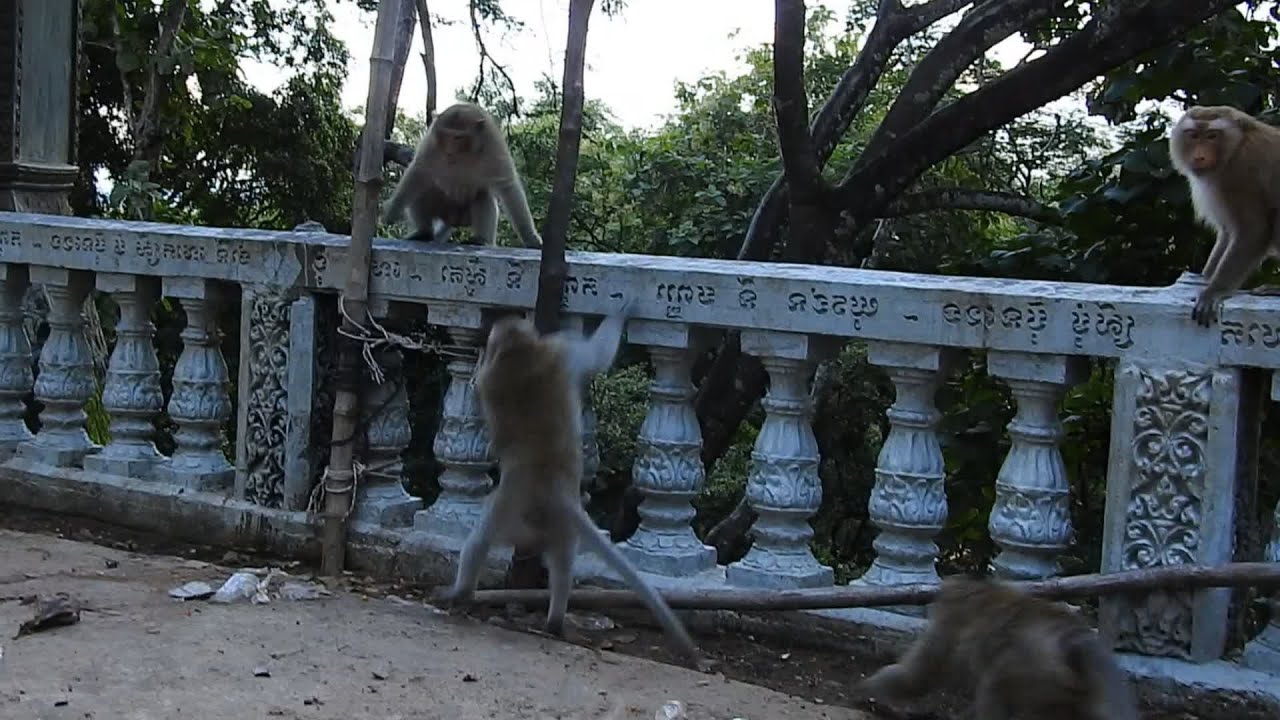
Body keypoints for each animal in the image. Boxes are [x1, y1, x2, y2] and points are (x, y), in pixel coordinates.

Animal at [382, 101, 543, 248]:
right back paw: (423, 233)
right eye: (445, 135)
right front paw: (392, 210)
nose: (449, 151)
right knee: (420, 192)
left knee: (483, 197)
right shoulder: (431, 142)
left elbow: (507, 185)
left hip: (465, 215)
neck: (464, 154)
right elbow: (419, 171)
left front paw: (531, 238)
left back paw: (481, 240)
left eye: (458, 137)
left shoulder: (493, 143)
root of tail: (453, 220)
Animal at [433, 303, 705, 670]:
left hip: (507, 509)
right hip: (561, 527)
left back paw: (460, 594)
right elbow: (596, 357)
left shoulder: (537, 356)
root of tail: (556, 492)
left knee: (479, 541)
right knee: (562, 567)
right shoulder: (560, 353)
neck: (521, 351)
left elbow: (482, 385)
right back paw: (554, 621)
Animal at [855, 576, 1139, 720]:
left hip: (1034, 671)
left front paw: (865, 692)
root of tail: (1073, 641)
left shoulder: (950, 624)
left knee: (995, 686)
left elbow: (917, 678)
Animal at [1169, 105, 1280, 326]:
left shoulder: (1240, 173)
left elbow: (1253, 230)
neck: (1236, 146)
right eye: (1194, 135)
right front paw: (1206, 277)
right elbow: (1228, 233)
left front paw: (1214, 291)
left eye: (1212, 136)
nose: (1199, 156)